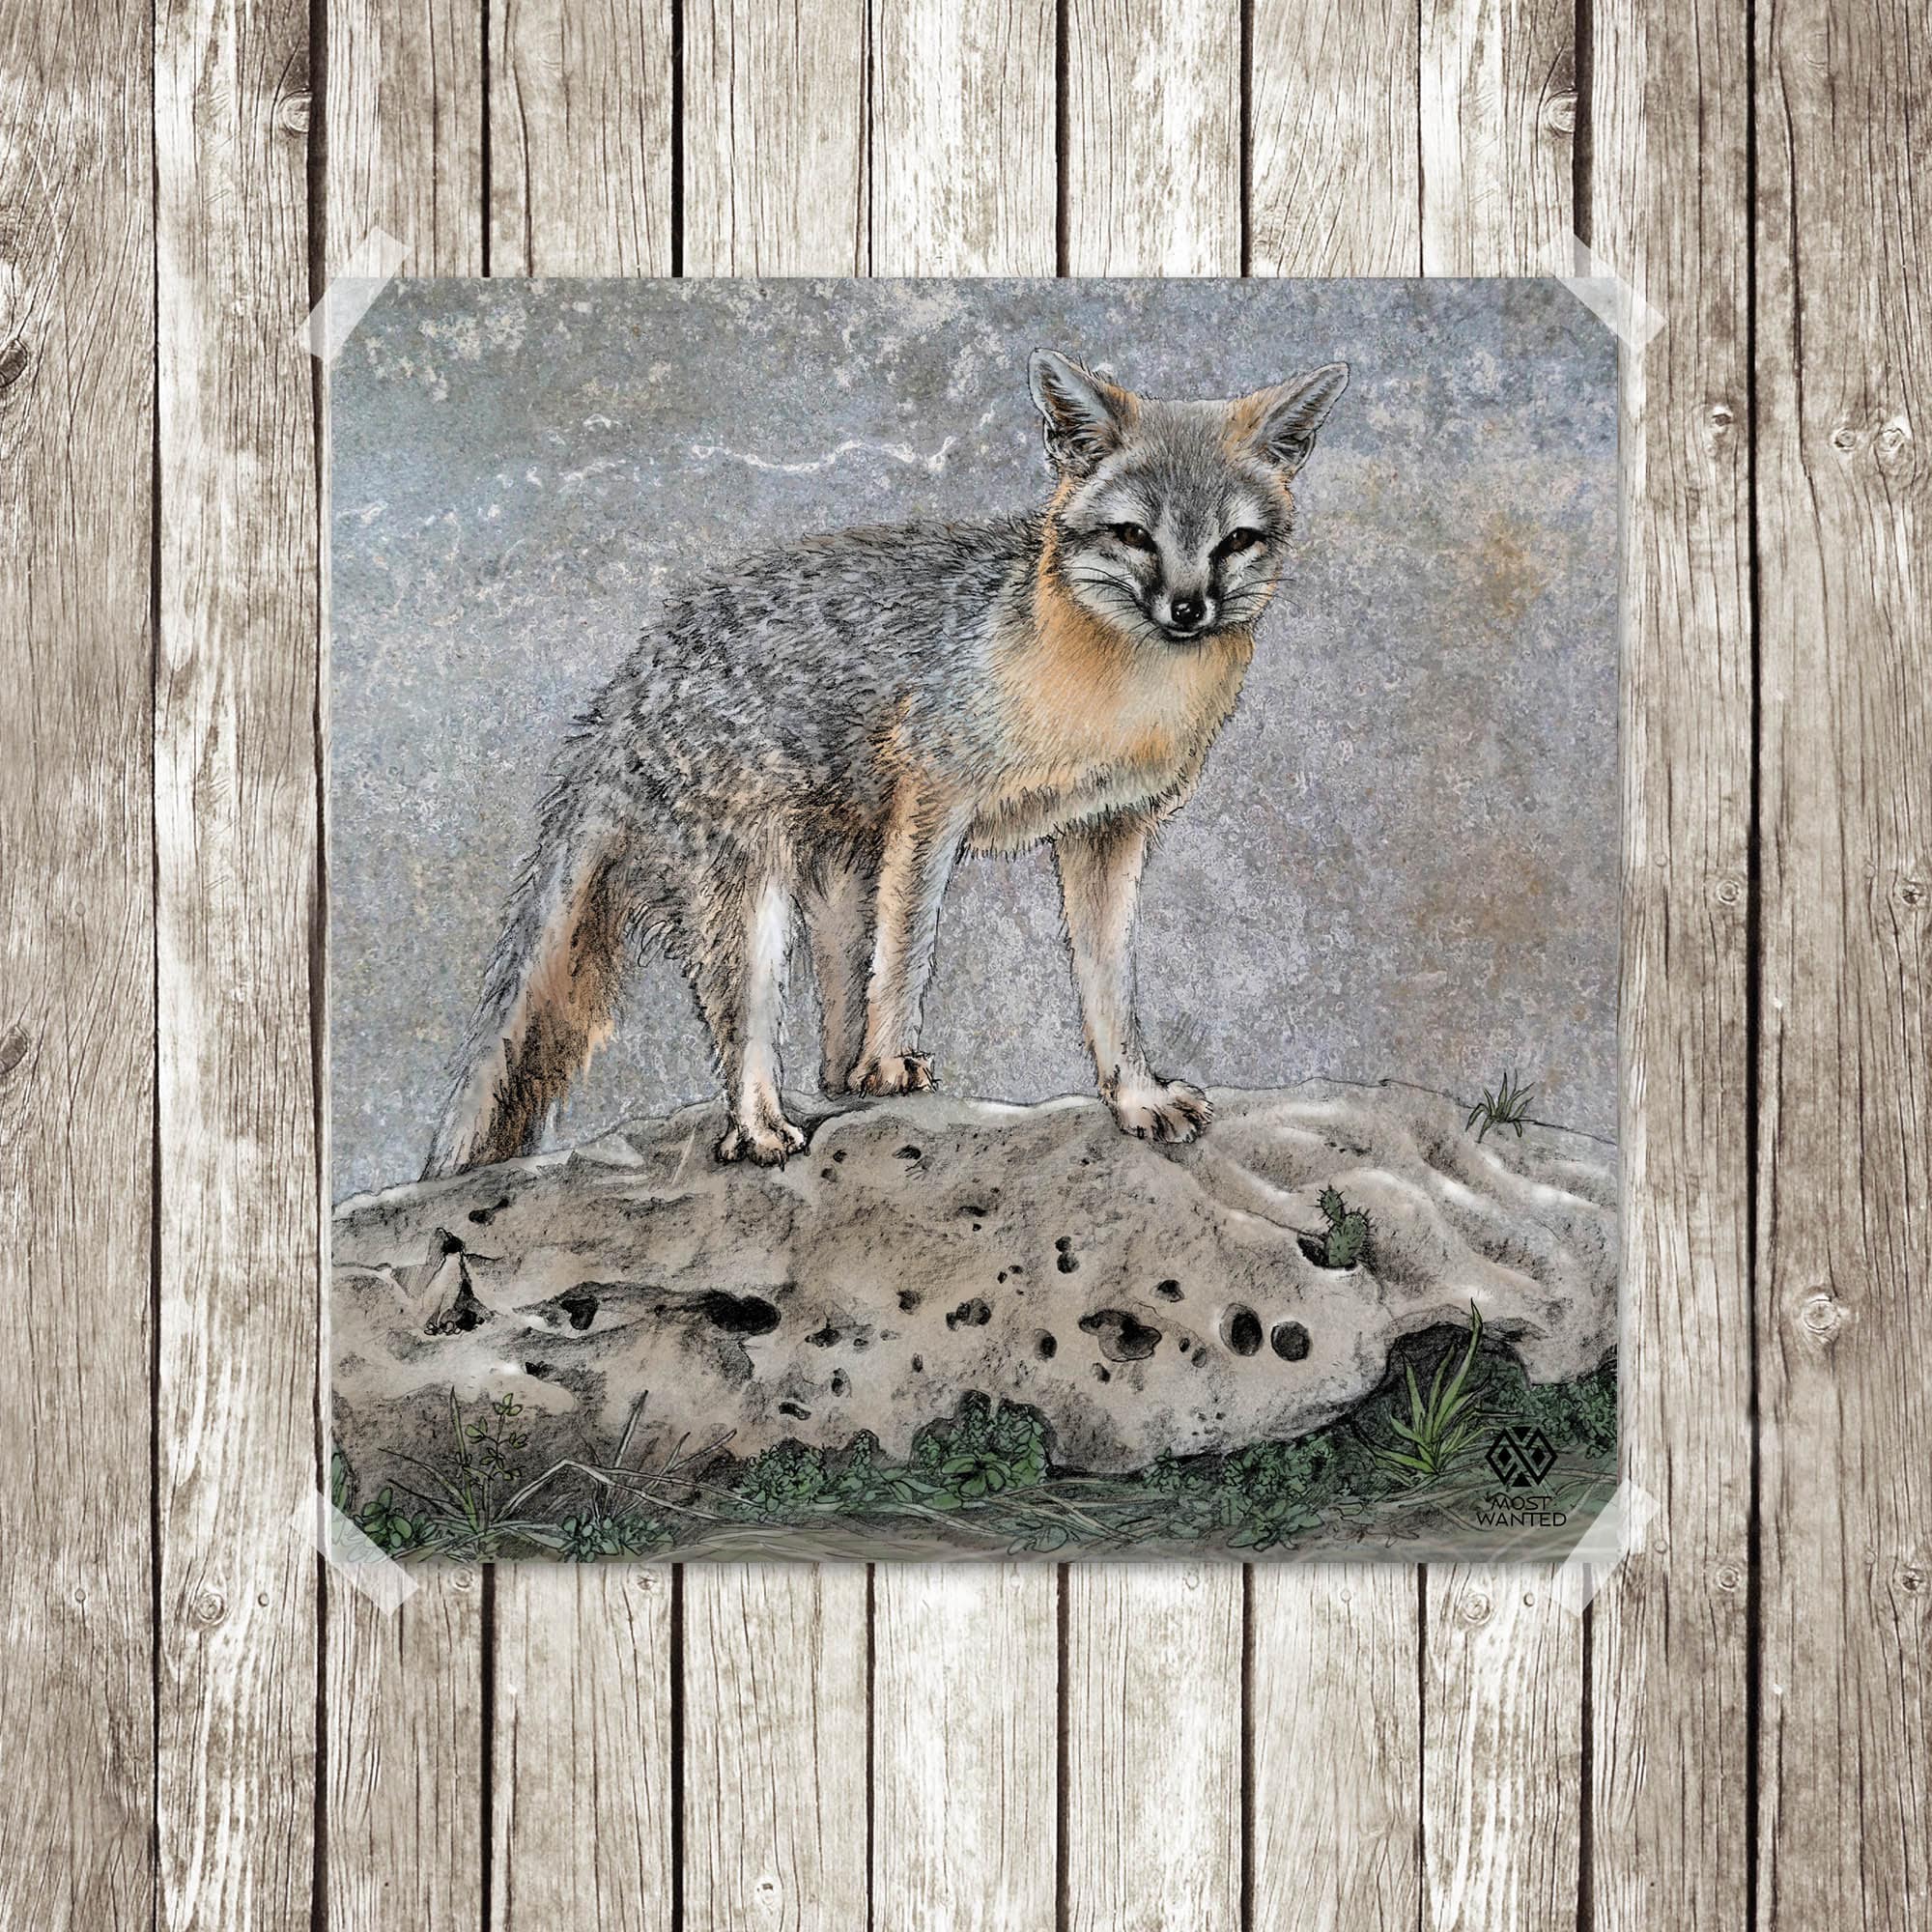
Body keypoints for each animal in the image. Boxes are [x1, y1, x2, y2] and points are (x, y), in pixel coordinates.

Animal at [423, 349, 1349, 1178]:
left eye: (1234, 542)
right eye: (1134, 536)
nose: (1188, 610)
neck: (1115, 701)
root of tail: (632, 676)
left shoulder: (1108, 829)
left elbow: (1108, 982)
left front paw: (1133, 1095)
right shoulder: (935, 799)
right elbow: (907, 952)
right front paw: (891, 1059)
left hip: (842, 882)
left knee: (829, 1041)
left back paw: (844, 1086)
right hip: (753, 905)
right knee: (751, 1029)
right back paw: (763, 1125)